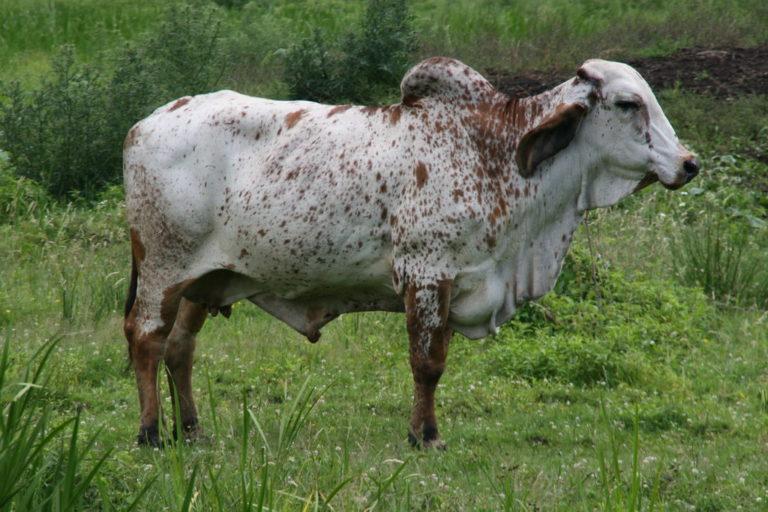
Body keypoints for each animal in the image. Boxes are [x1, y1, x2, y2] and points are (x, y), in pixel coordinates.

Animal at [123, 57, 698, 448]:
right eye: (628, 104)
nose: (689, 163)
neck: (497, 154)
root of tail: (142, 124)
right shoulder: (425, 275)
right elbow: (427, 364)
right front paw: (425, 436)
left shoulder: (455, 280)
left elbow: (435, 361)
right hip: (163, 267)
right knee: (146, 338)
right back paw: (151, 433)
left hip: (206, 279)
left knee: (180, 349)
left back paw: (192, 430)